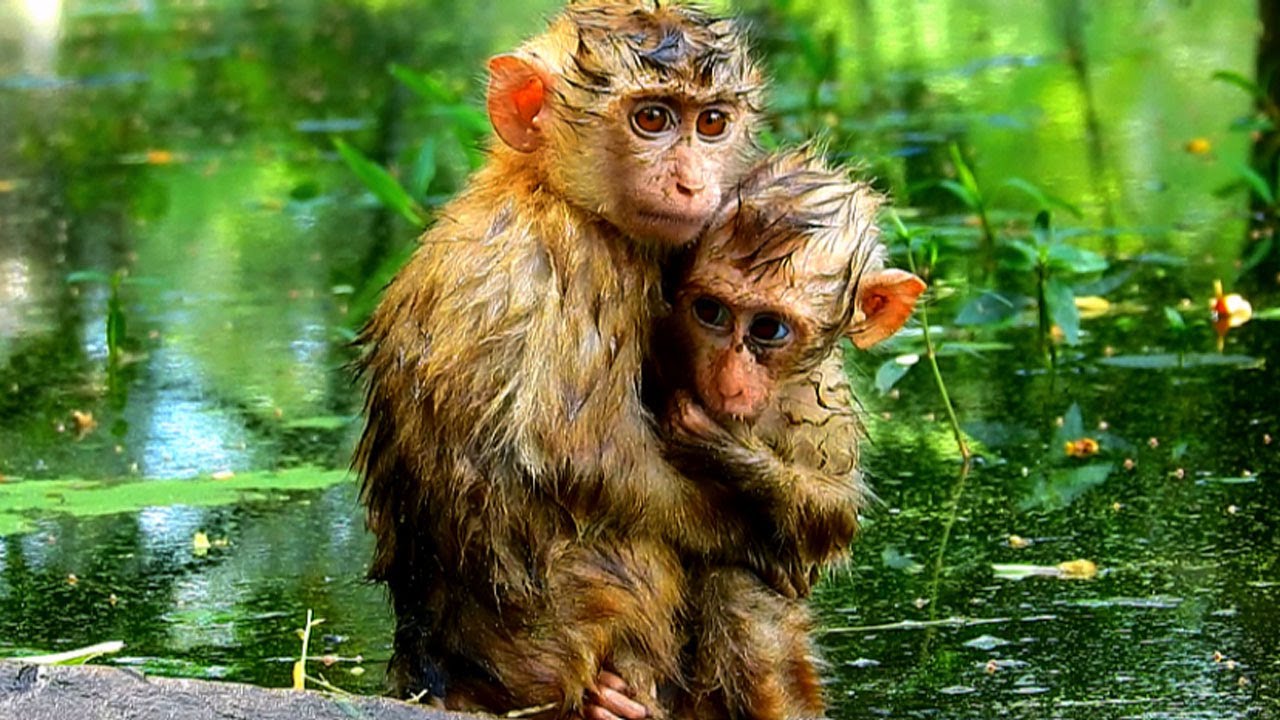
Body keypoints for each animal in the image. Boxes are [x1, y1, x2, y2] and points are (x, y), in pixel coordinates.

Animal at [352, 1, 766, 717]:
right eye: (651, 118)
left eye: (711, 122)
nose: (691, 183)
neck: (539, 184)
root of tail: (442, 672)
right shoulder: (591, 263)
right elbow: (578, 451)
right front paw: (745, 525)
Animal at [648, 147, 927, 720]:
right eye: (710, 312)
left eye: (768, 329)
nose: (730, 382)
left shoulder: (826, 413)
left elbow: (831, 521)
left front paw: (731, 451)